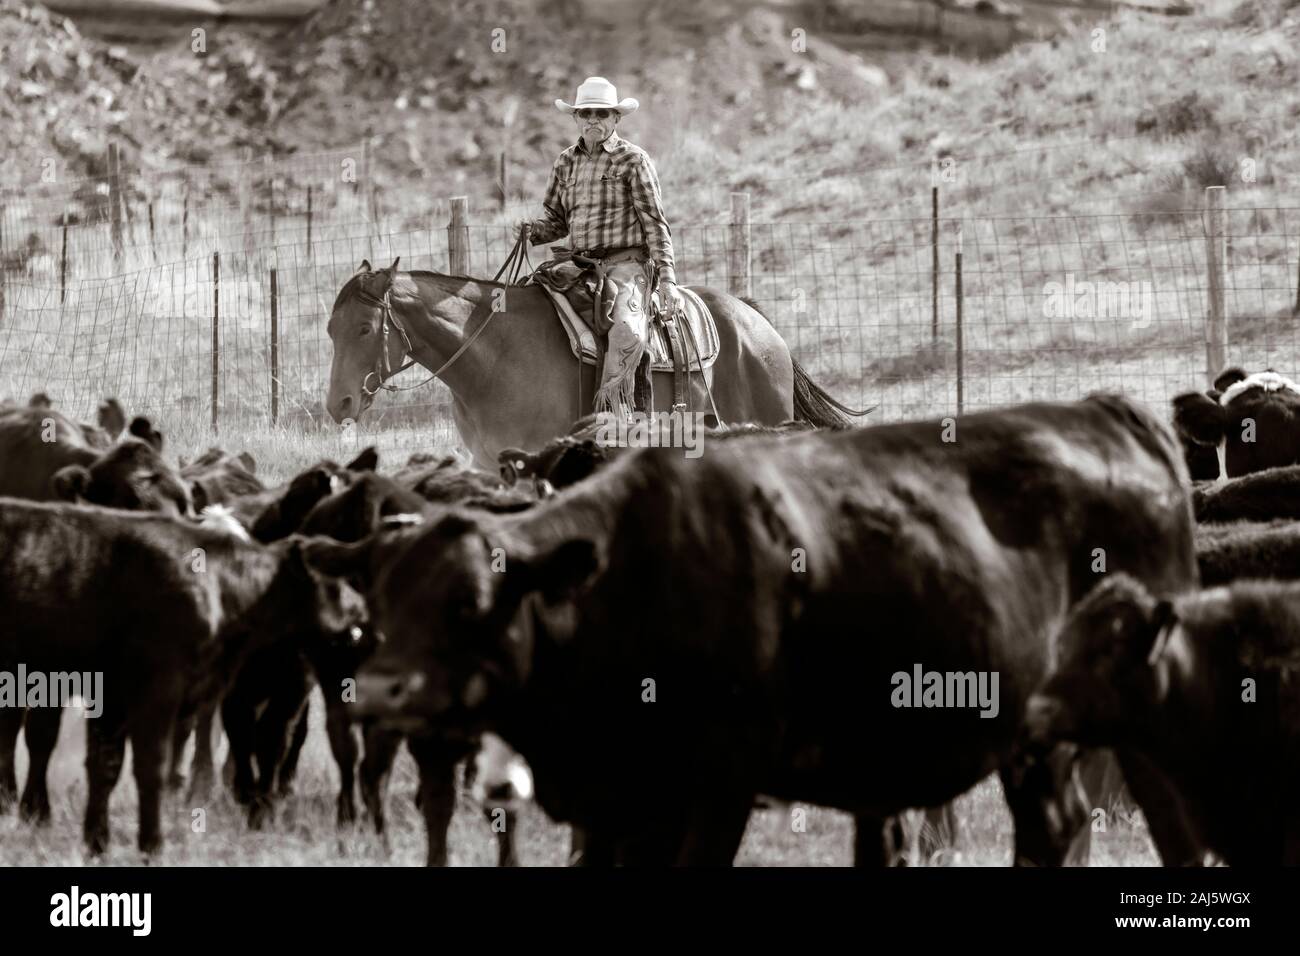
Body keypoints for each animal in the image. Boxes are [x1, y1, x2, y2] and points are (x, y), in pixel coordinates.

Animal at [0, 499, 365, 853]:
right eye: (333, 584)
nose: (363, 611)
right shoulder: (157, 689)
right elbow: (150, 765)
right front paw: (151, 845)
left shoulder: (112, 696)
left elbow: (104, 766)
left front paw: (97, 843)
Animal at [309, 394, 1203, 866]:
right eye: (378, 600)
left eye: (469, 601)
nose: (382, 688)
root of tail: (1111, 416)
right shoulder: (616, 802)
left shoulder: (717, 782)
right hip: (1036, 739)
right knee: (1056, 828)